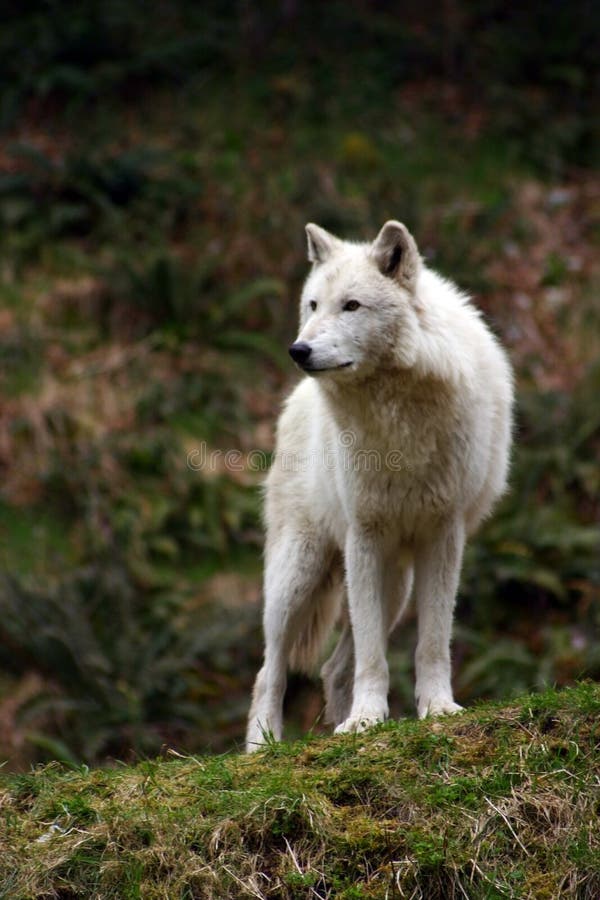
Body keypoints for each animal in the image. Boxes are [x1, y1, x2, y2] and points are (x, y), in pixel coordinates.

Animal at [246, 220, 513, 750]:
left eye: (351, 305)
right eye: (313, 305)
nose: (298, 350)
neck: (395, 422)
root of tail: (294, 400)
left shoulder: (443, 535)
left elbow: (433, 642)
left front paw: (436, 709)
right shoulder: (364, 536)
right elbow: (373, 654)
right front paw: (367, 719)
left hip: (395, 583)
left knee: (332, 669)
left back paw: (336, 726)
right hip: (300, 572)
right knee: (270, 670)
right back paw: (261, 749)